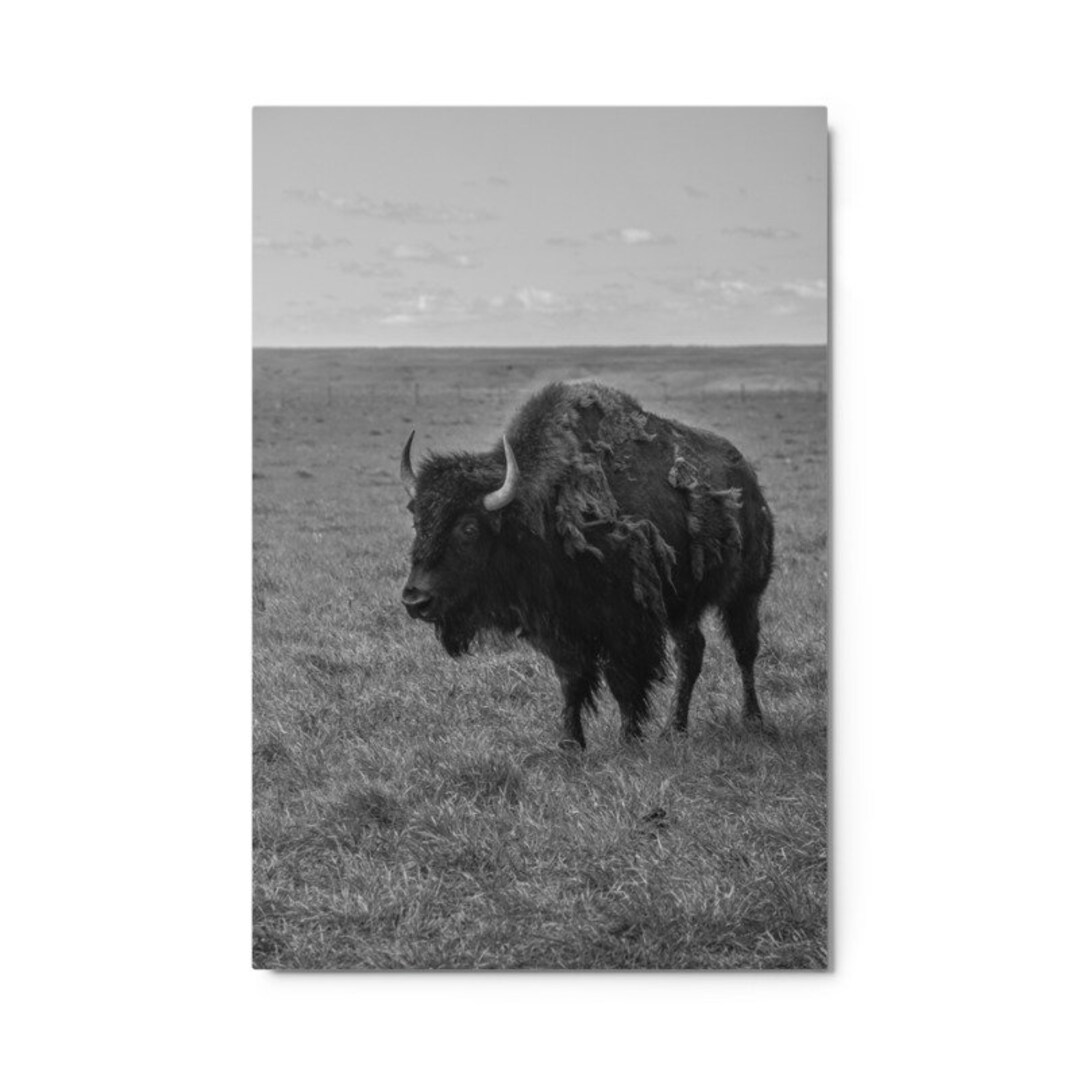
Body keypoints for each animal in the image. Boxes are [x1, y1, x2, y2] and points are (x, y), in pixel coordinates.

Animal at [400, 381, 774, 749]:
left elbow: (623, 682)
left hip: (744, 595)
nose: (415, 600)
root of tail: (748, 479)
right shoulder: (560, 629)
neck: (535, 514)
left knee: (744, 650)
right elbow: (572, 681)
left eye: (469, 528)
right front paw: (570, 744)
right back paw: (674, 729)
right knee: (691, 653)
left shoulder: (626, 626)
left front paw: (629, 740)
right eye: (418, 523)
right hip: (683, 606)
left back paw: (752, 719)